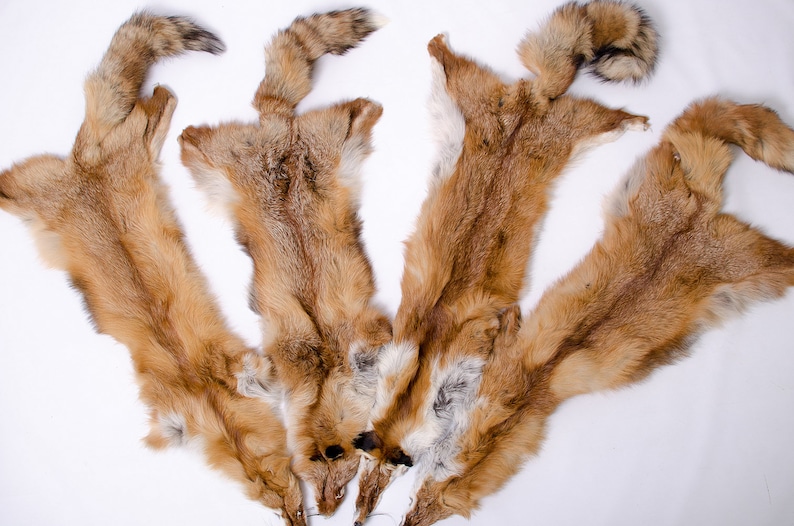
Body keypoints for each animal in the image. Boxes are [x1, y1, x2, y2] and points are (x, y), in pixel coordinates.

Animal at [0, 13, 306, 526]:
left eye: (285, 490)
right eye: (265, 495)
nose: (300, 519)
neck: (198, 383)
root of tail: (85, 163)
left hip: (131, 148)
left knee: (155, 98)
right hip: (56, 182)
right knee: (148, 99)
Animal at [178, 9, 392, 516]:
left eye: (343, 484)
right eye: (320, 484)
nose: (330, 513)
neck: (324, 364)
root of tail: (282, 129)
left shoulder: (366, 334)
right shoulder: (284, 359)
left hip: (335, 141)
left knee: (352, 107)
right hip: (229, 163)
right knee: (204, 132)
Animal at [352, 1, 658, 523]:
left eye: (394, 475)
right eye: (366, 471)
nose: (357, 514)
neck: (426, 352)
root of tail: (531, 98)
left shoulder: (478, 345)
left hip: (573, 133)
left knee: (608, 118)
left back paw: (636, 120)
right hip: (462, 102)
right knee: (446, 59)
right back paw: (437, 40)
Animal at [401, 98, 794, 526]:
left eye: (430, 509)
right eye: (415, 499)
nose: (405, 522)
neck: (525, 391)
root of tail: (701, 212)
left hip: (758, 268)